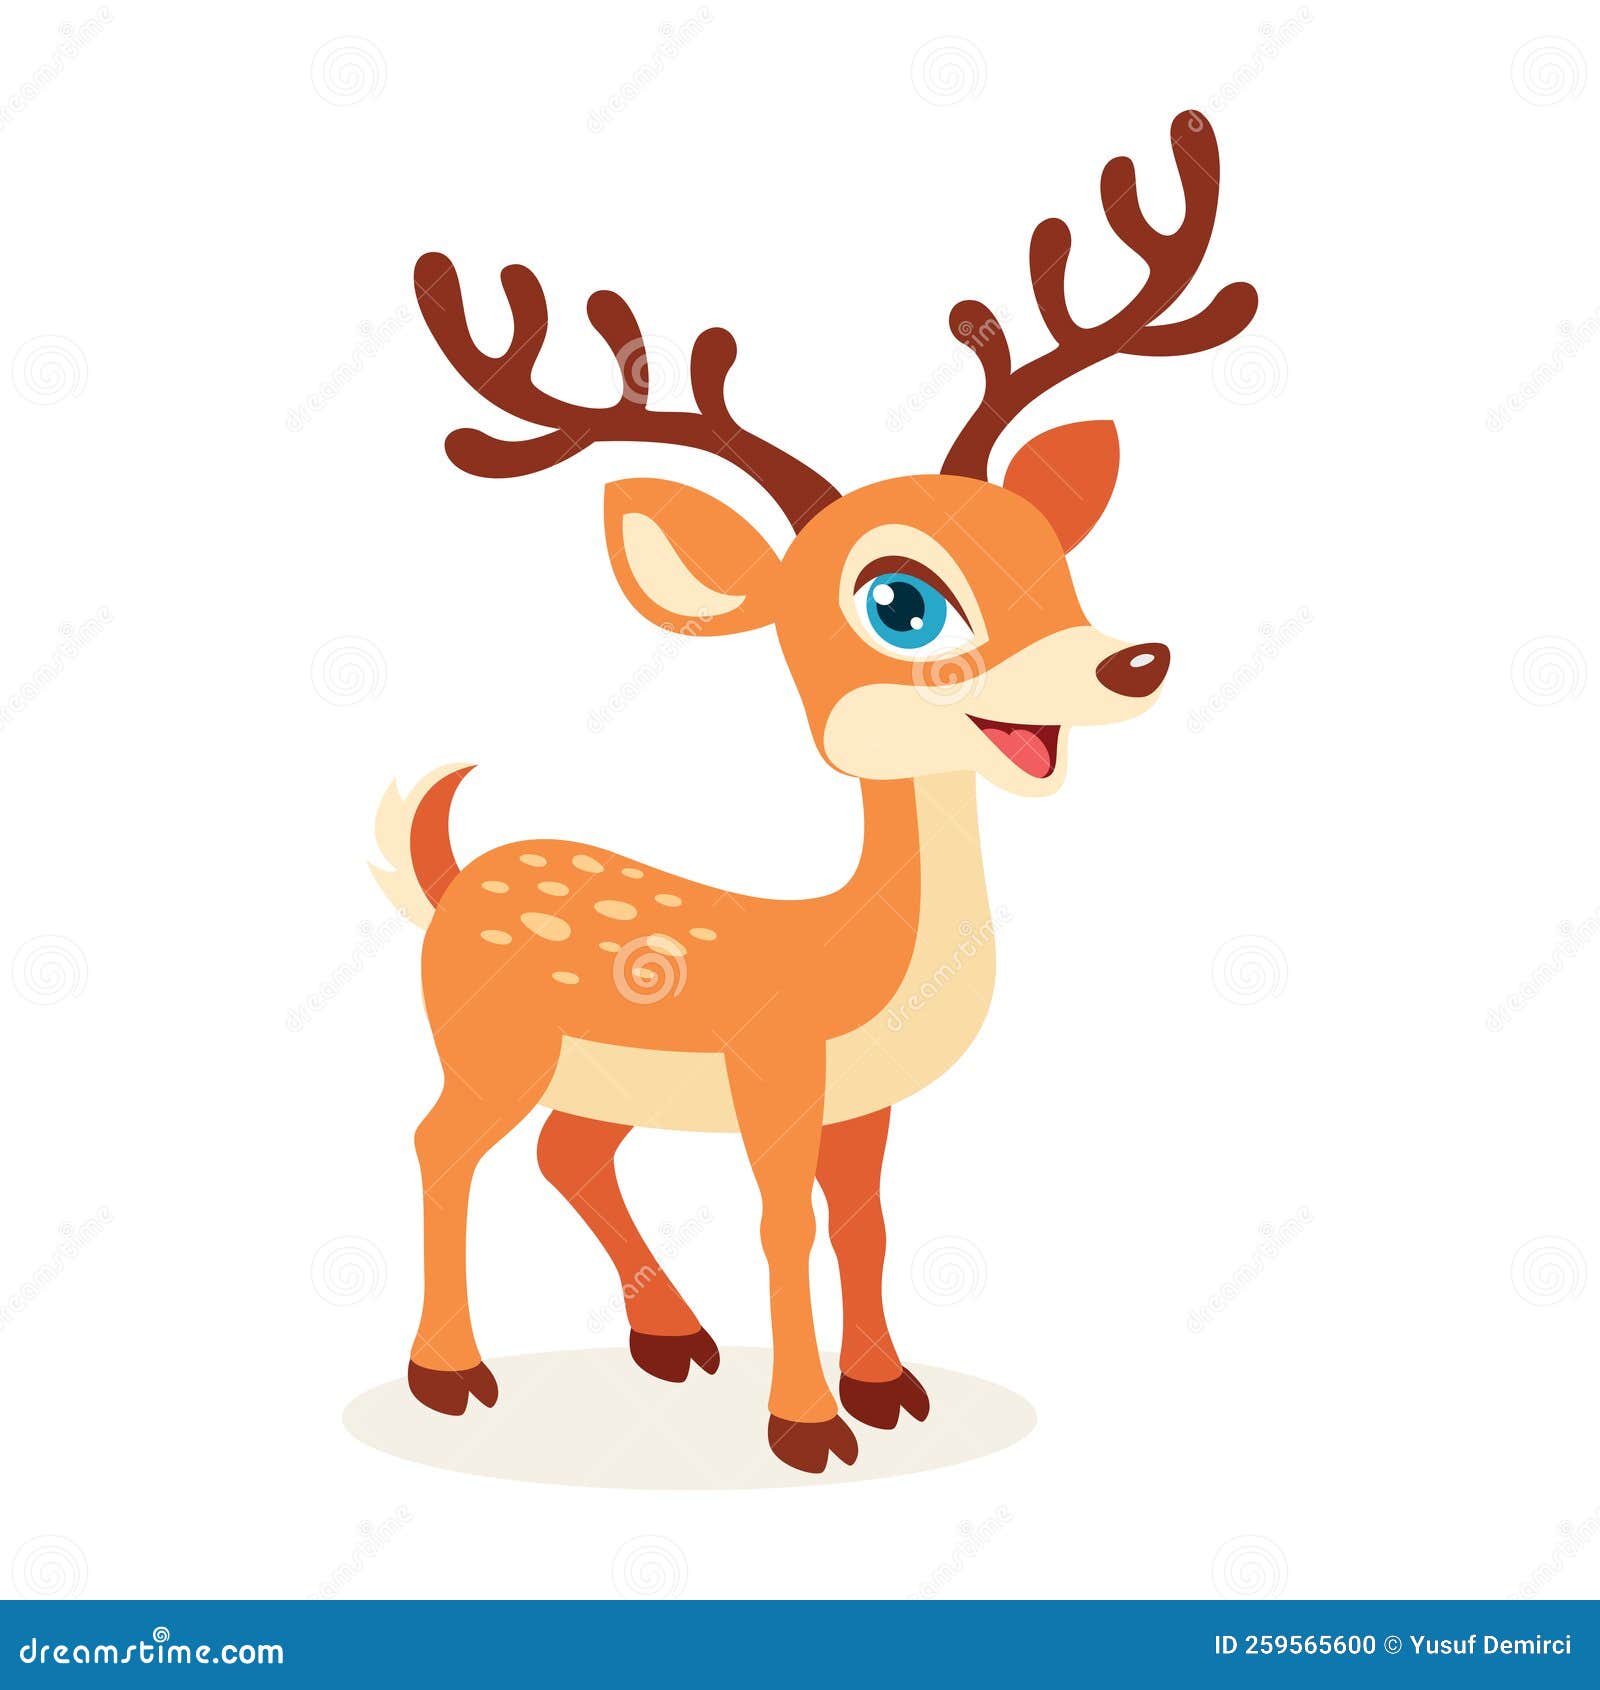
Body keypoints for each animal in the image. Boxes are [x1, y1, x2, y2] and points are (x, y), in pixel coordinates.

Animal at [374, 110, 1257, 1473]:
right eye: (901, 601)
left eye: (1056, 556)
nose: (1132, 661)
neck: (856, 960)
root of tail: (456, 873)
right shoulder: (773, 1070)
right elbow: (779, 1220)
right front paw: (804, 1425)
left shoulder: (865, 1102)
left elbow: (864, 1223)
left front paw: (887, 1391)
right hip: (488, 1045)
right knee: (438, 1146)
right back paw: (451, 1374)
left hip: (591, 1077)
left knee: (570, 1155)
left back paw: (671, 1341)